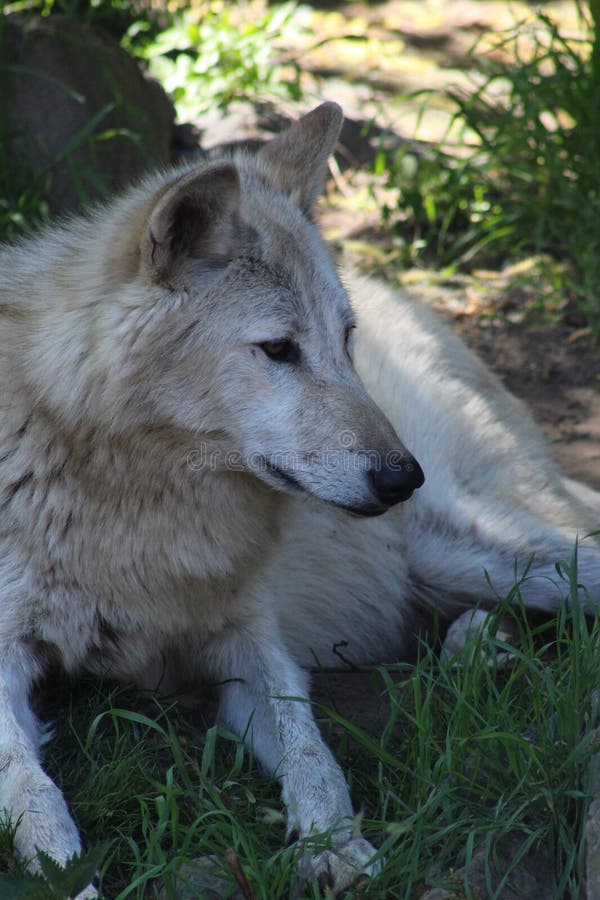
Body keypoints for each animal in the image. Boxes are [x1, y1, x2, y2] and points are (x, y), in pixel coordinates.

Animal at [0, 102, 599, 897]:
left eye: (345, 340)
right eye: (279, 349)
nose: (402, 477)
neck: (133, 498)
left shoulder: (250, 635)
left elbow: (314, 754)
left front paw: (340, 850)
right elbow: (32, 789)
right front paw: (69, 878)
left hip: (486, 549)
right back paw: (477, 648)